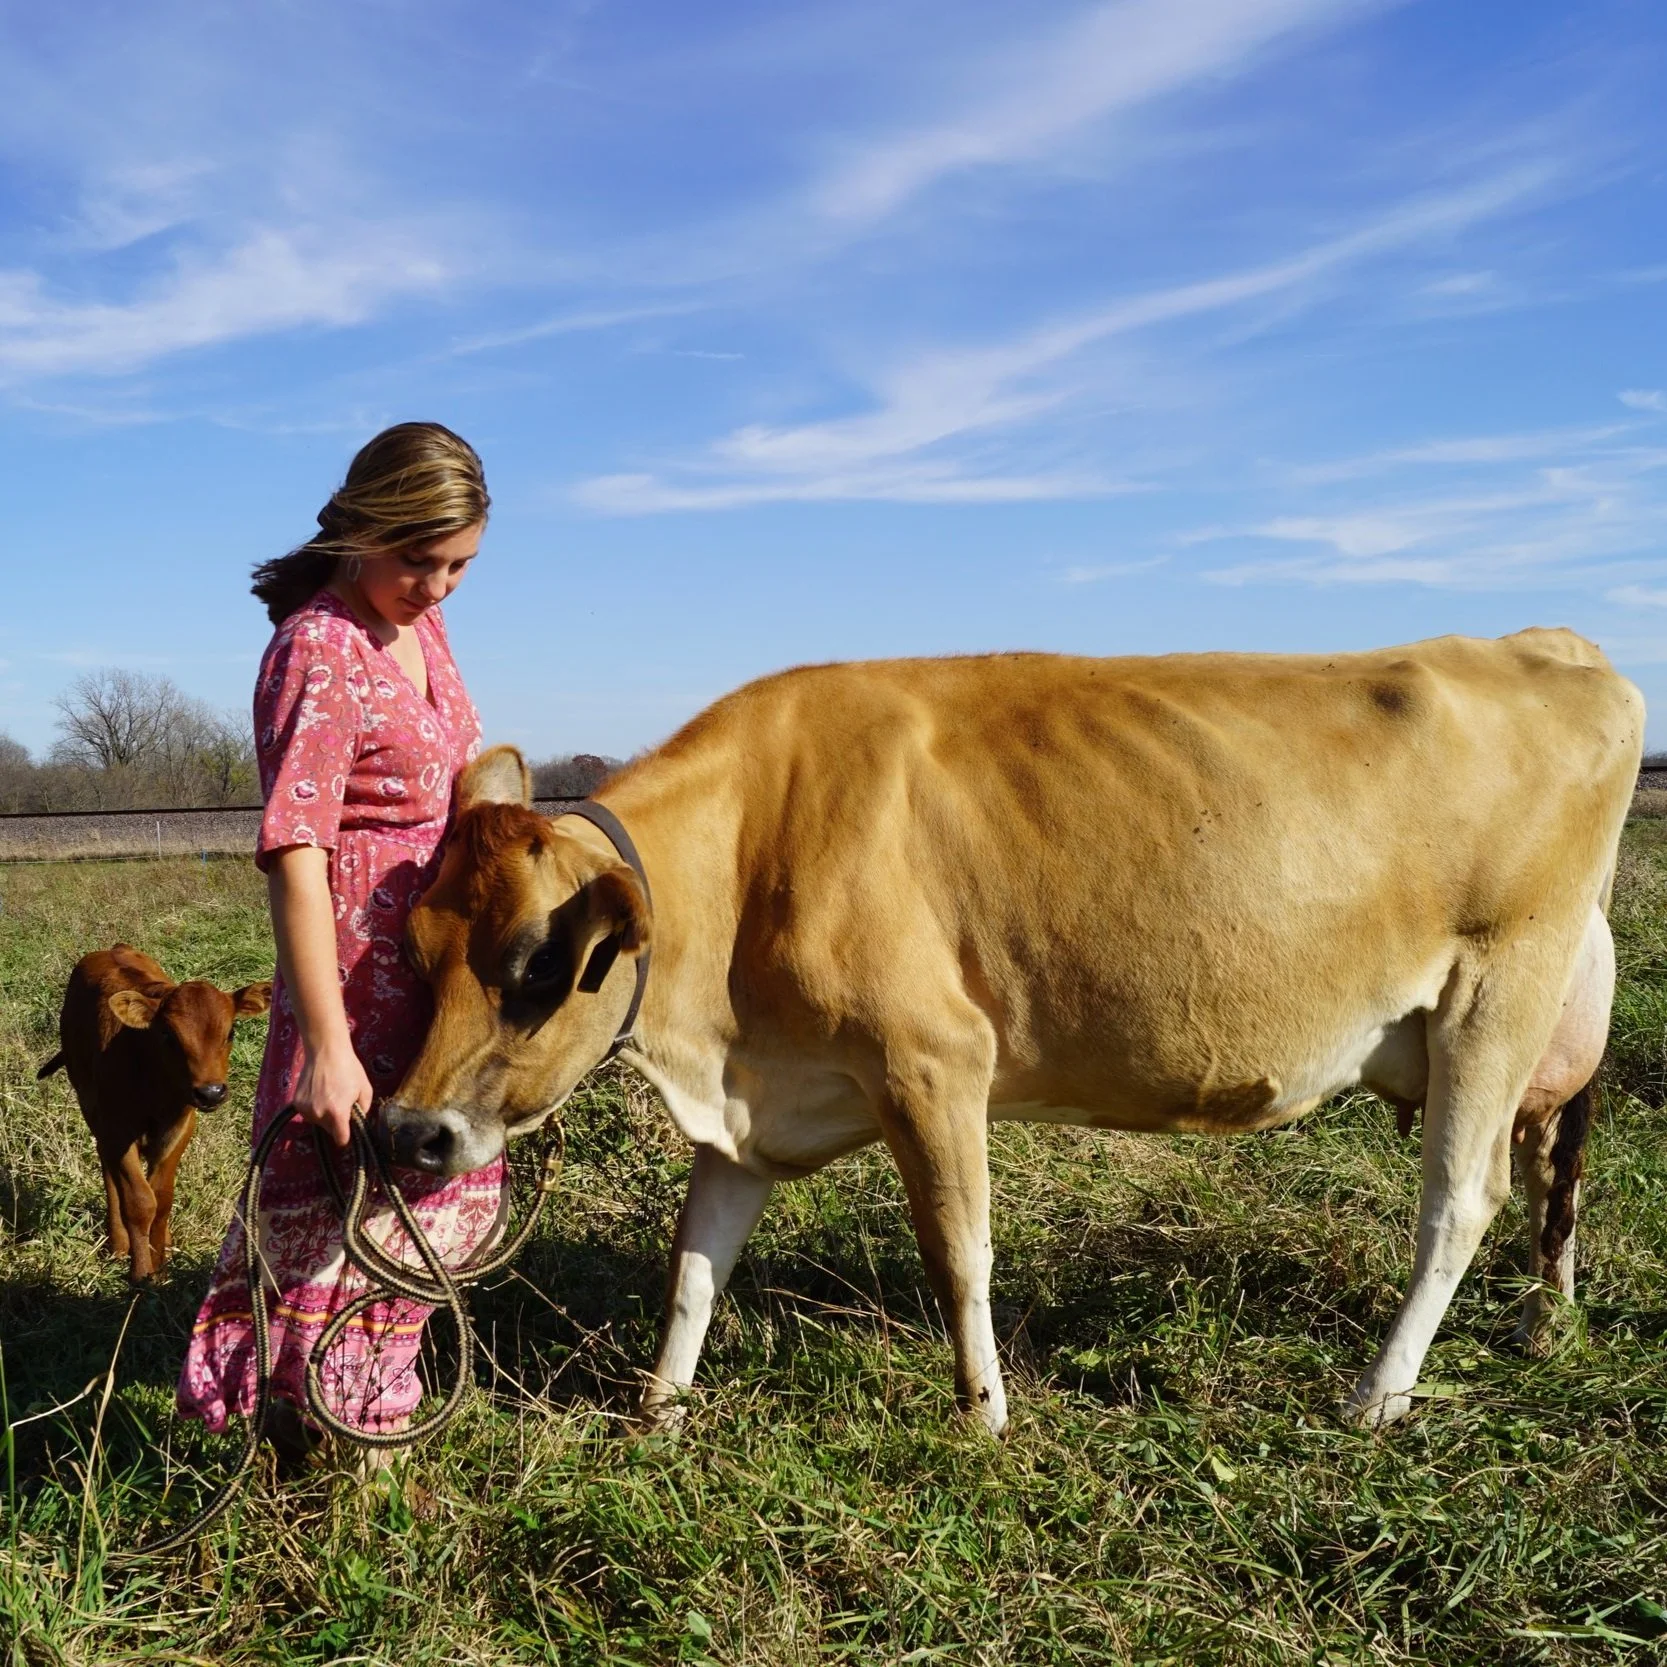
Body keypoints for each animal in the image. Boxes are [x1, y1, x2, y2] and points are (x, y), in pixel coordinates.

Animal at [38, 946, 270, 1282]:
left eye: (231, 1032)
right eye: (168, 1036)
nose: (211, 1092)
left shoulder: (180, 1127)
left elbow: (161, 1199)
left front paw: (159, 1264)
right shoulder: (118, 1131)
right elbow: (139, 1202)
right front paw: (141, 1272)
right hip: (90, 1106)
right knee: (108, 1171)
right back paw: (119, 1243)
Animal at [382, 628, 1640, 1433]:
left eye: (537, 963)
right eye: (417, 945)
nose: (409, 1131)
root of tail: (1546, 643)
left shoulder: (933, 1061)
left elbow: (957, 1255)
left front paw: (983, 1417)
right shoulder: (749, 1110)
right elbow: (694, 1268)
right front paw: (659, 1410)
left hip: (1495, 993)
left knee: (1460, 1201)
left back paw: (1377, 1395)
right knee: (1547, 1174)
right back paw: (1544, 1320)